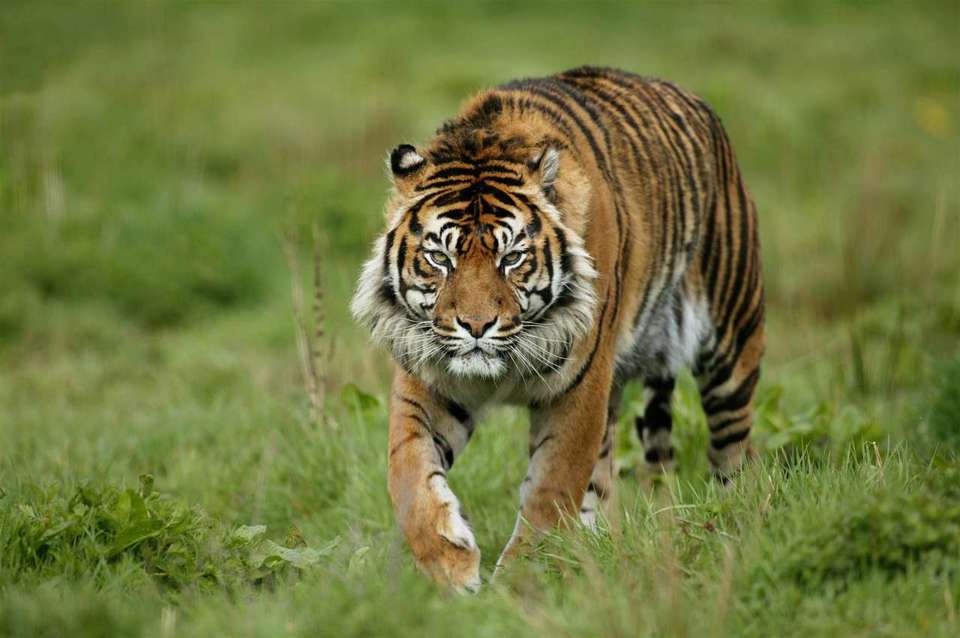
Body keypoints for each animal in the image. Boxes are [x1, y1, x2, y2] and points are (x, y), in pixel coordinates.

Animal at [351, 66, 764, 591]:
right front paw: (451, 564)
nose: (476, 325)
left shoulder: (580, 388)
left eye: (512, 258)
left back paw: (734, 526)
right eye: (440, 257)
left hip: (733, 341)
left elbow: (552, 489)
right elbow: (407, 475)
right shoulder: (429, 381)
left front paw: (522, 581)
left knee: (734, 452)